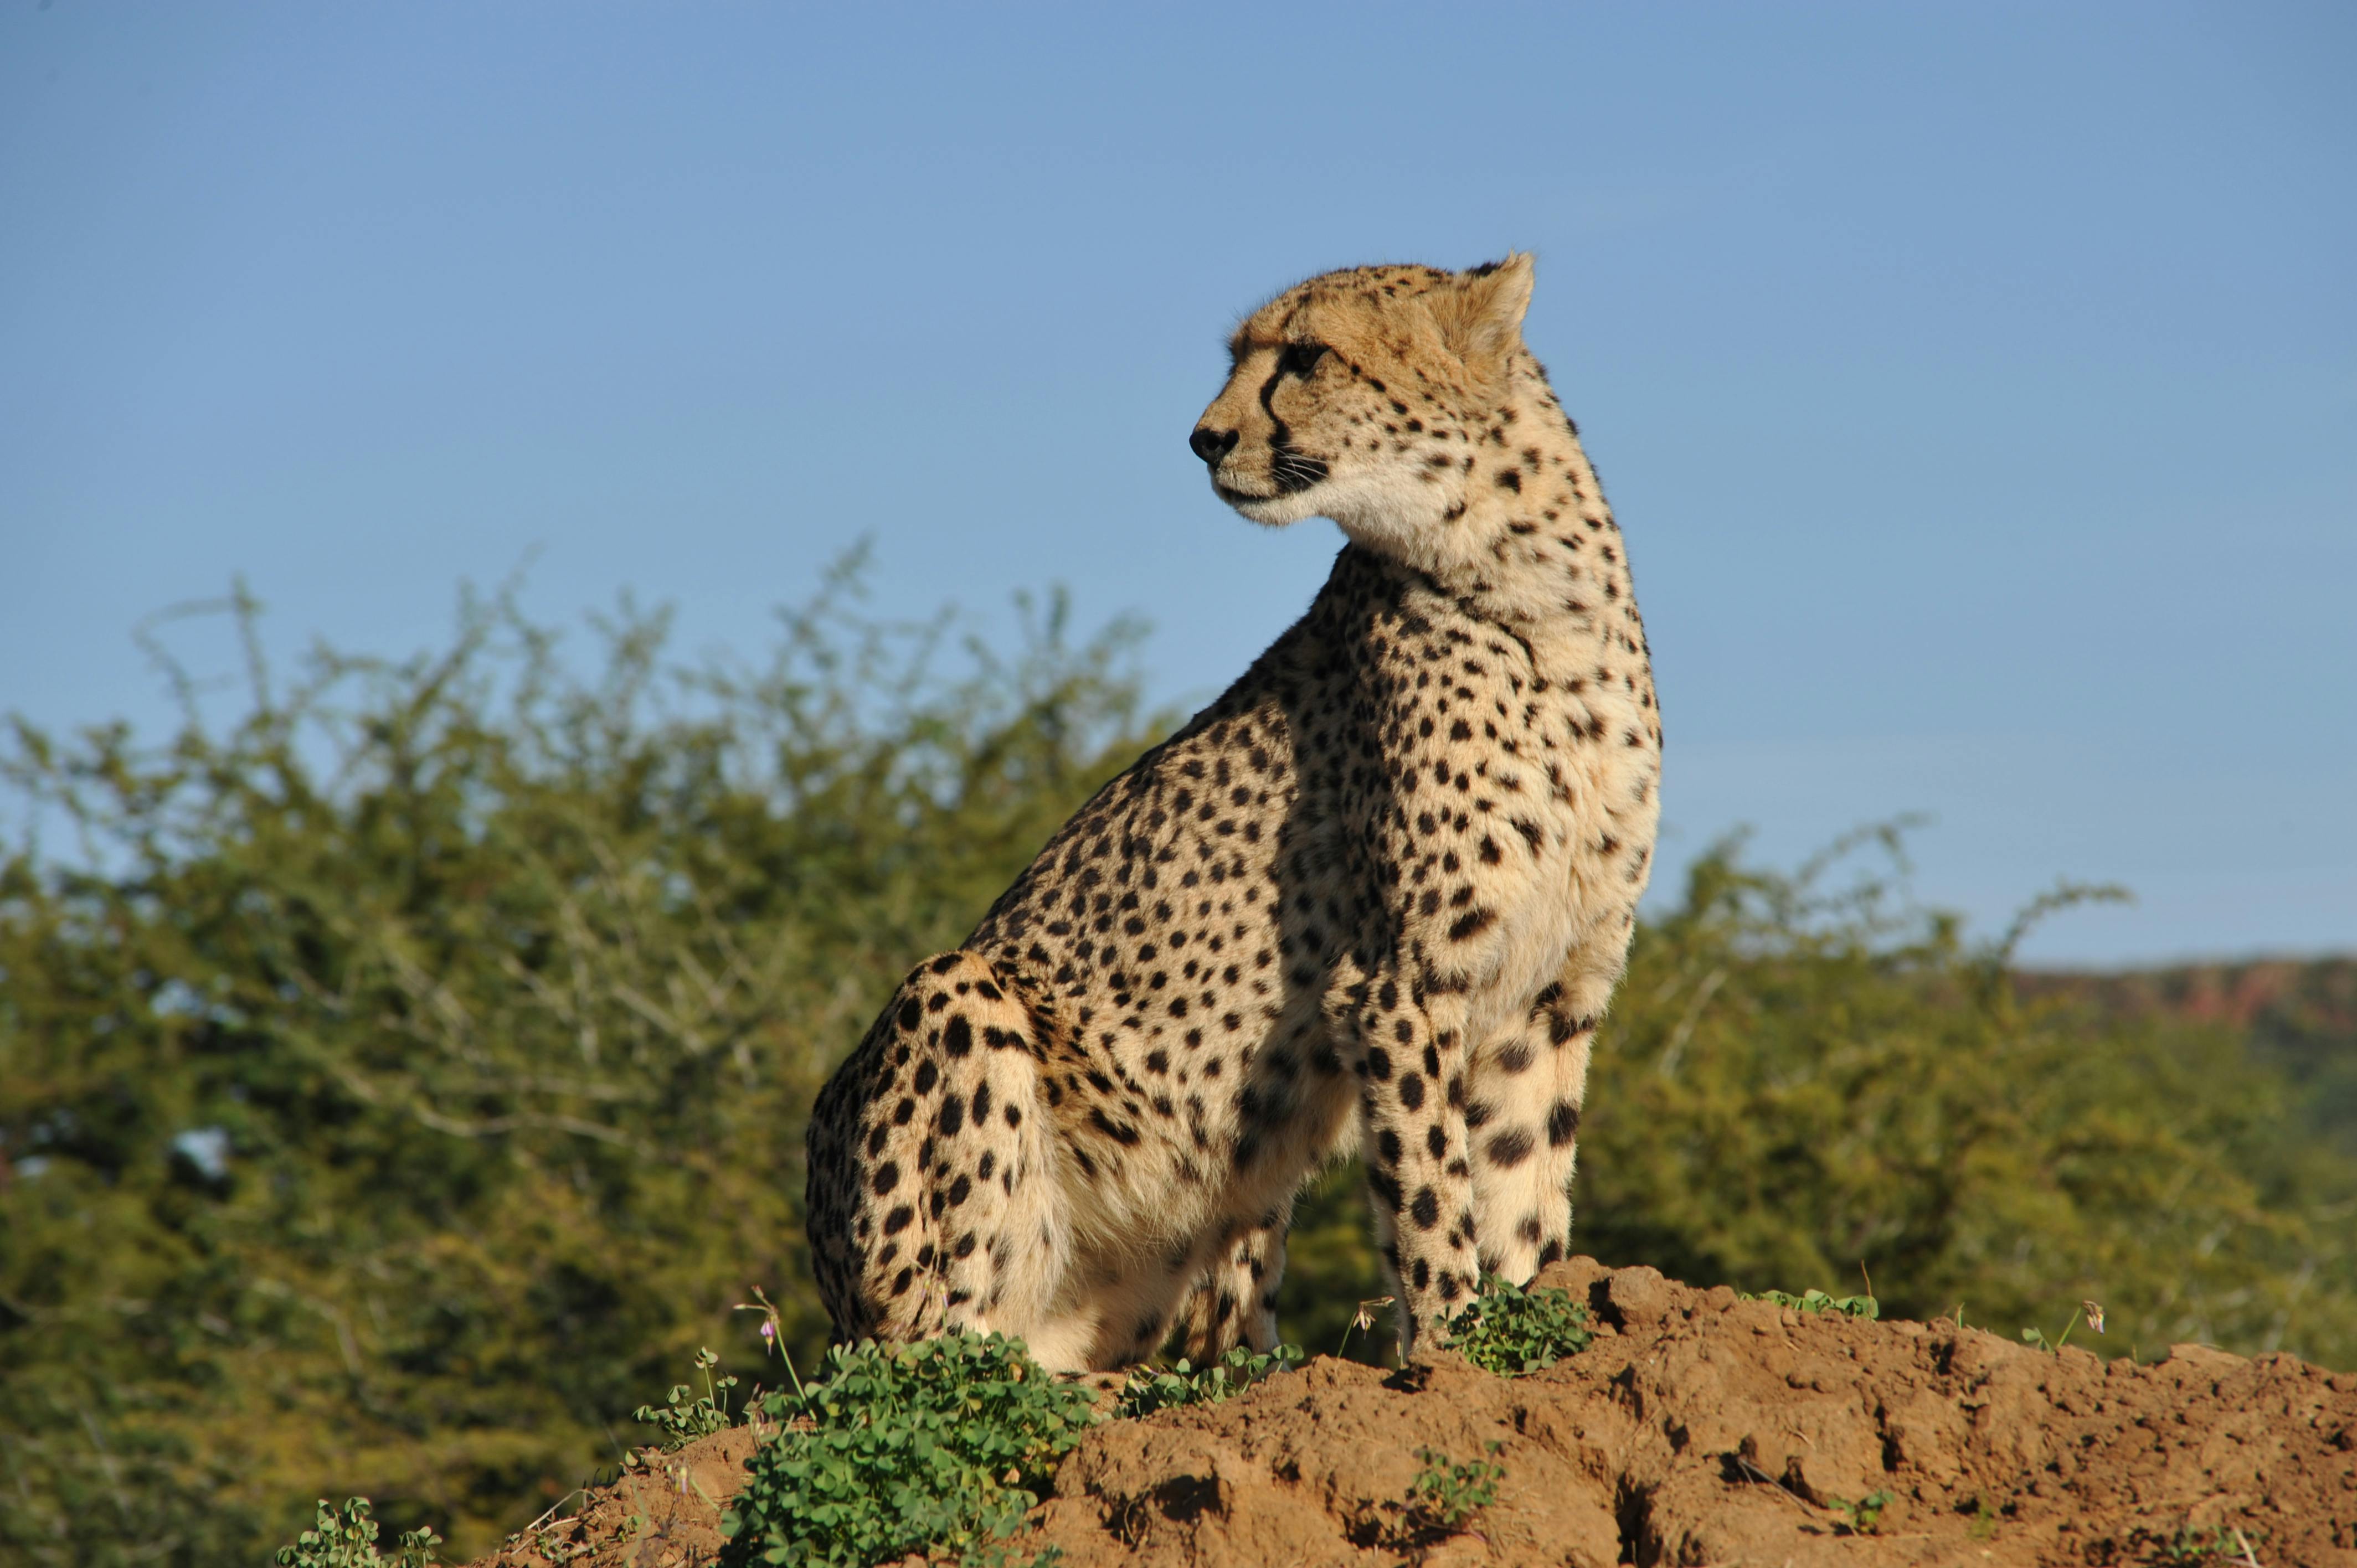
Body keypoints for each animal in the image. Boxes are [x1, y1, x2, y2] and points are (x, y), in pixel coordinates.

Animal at [804, 254, 1661, 1371]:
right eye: (1241, 358)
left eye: (1306, 357)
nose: (1205, 437)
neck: (1530, 590)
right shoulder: (1396, 981)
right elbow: (1433, 1189)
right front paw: (1449, 1345)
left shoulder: (1552, 992)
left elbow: (1523, 1186)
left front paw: (1527, 1331)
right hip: (957, 1002)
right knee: (936, 1354)